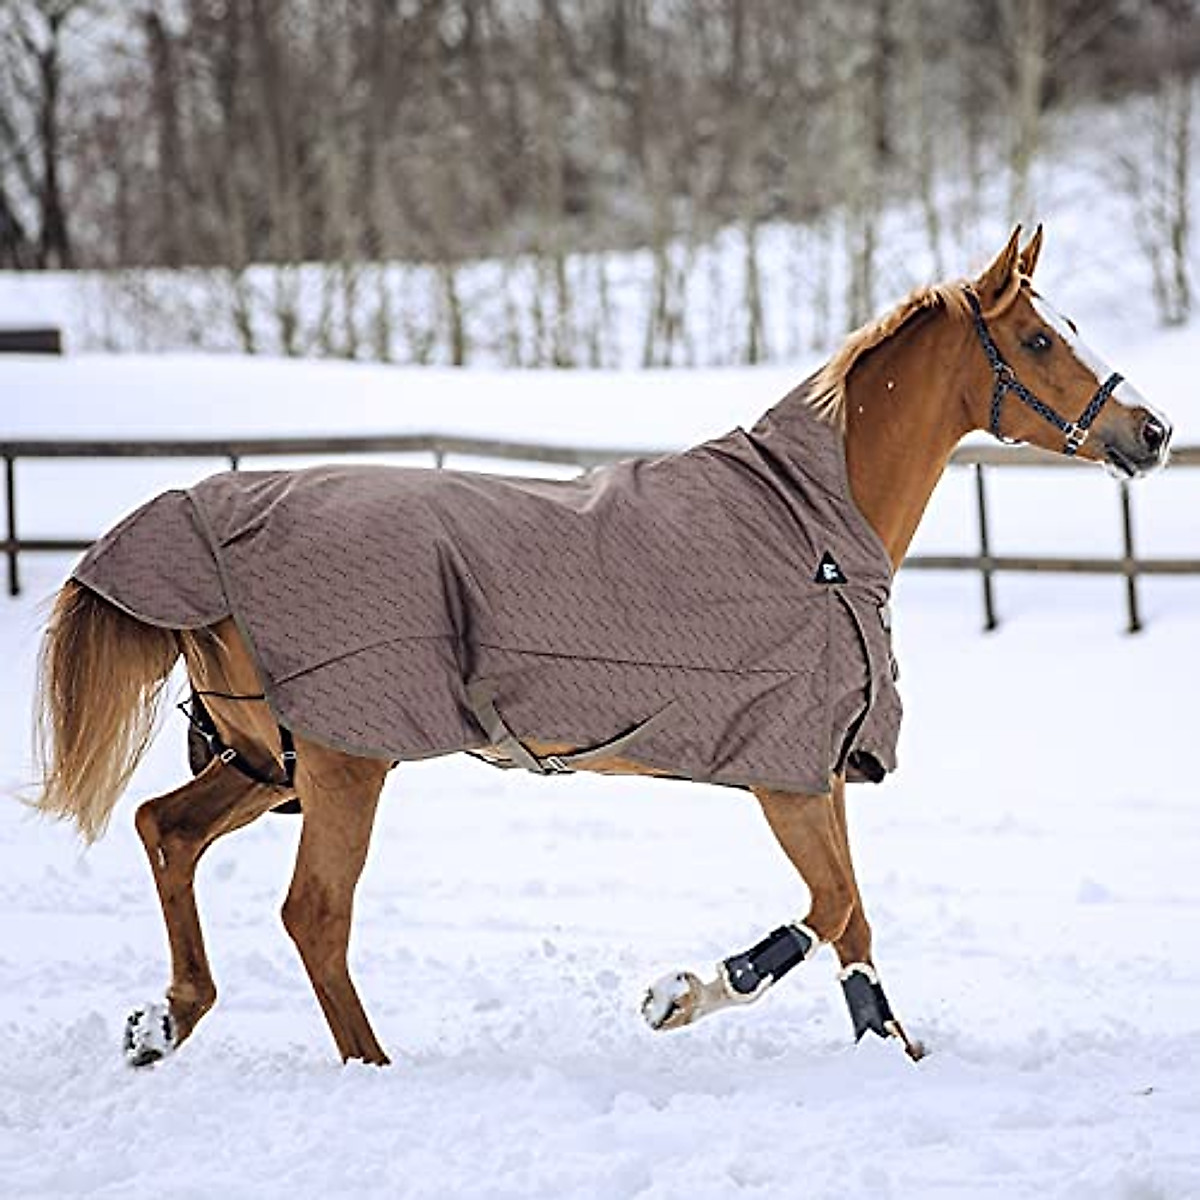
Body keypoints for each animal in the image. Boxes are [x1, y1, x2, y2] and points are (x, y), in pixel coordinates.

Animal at [31, 227, 1171, 1069]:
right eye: (1037, 340)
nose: (1152, 433)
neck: (811, 533)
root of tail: (200, 514)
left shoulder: (818, 768)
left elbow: (855, 920)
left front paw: (889, 1048)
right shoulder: (785, 779)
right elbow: (834, 906)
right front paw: (687, 992)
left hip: (271, 759)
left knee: (167, 831)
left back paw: (166, 1020)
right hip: (348, 760)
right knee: (313, 913)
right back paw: (370, 1067)